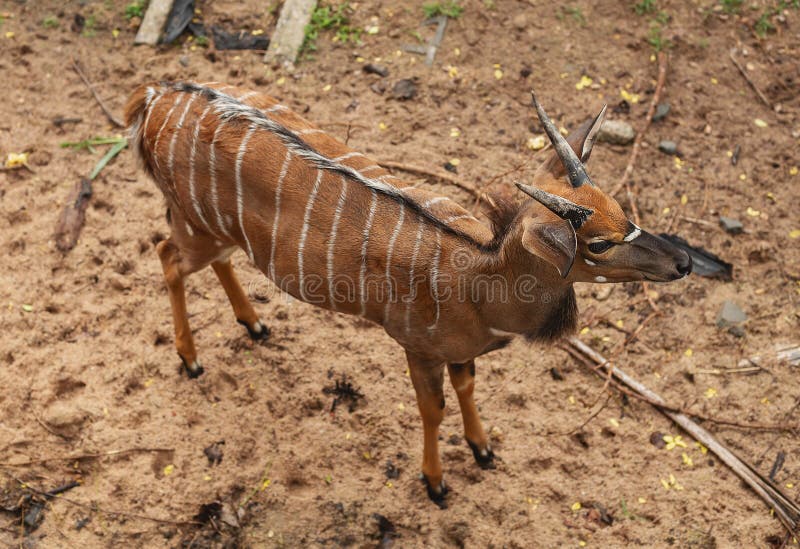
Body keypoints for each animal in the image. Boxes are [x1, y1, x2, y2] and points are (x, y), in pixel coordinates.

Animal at [124, 81, 691, 507]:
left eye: (623, 211)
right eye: (598, 243)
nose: (684, 262)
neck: (480, 282)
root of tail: (154, 100)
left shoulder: (459, 351)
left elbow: (467, 388)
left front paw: (484, 450)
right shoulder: (416, 346)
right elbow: (432, 409)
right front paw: (436, 483)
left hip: (216, 232)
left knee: (209, 260)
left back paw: (256, 325)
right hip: (195, 226)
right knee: (166, 255)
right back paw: (191, 359)